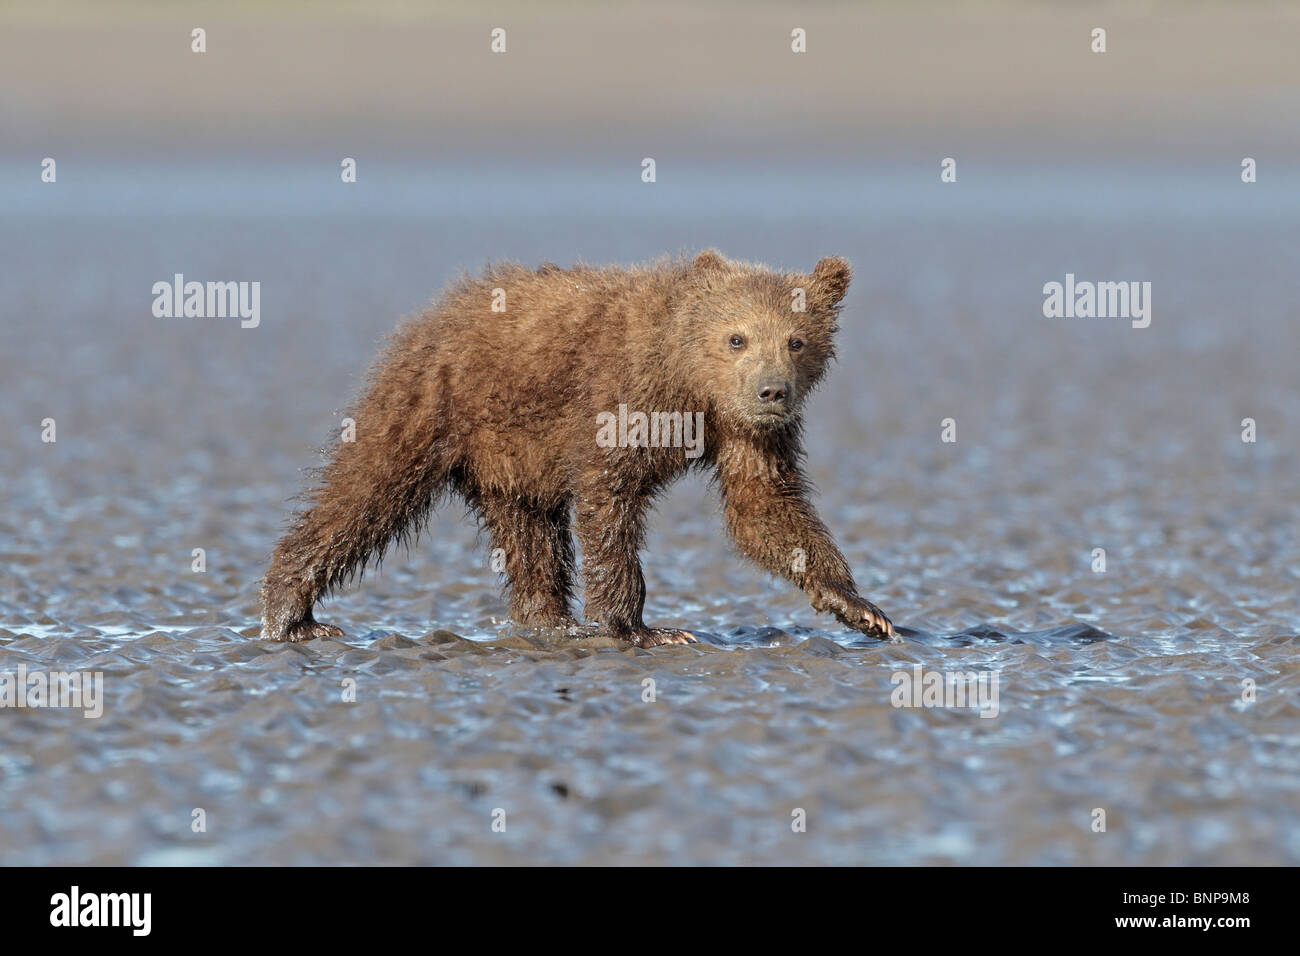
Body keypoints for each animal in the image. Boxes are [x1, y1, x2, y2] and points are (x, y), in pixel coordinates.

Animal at [259, 250, 896, 648]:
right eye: (736, 337)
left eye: (796, 340)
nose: (771, 390)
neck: (690, 387)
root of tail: (431, 313)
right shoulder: (621, 398)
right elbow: (608, 497)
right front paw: (641, 627)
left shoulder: (748, 433)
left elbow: (763, 507)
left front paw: (860, 607)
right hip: (433, 400)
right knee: (365, 490)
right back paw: (291, 613)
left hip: (512, 456)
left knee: (530, 533)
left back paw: (548, 619)